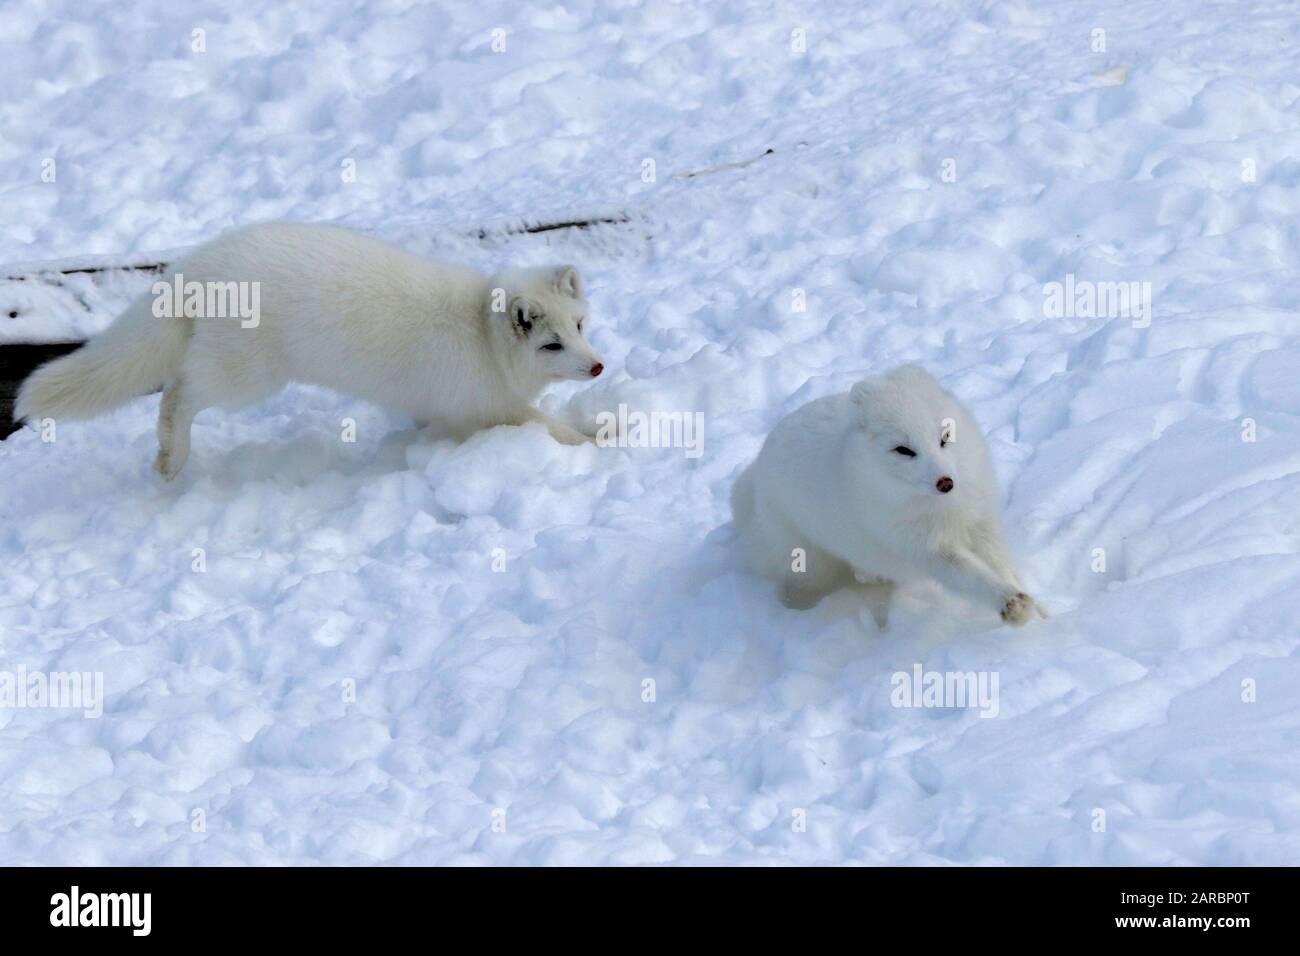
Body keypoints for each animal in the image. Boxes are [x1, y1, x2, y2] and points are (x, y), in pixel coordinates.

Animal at [16, 222, 605, 478]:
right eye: (551, 344)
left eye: (580, 325)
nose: (598, 367)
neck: (480, 331)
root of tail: (199, 263)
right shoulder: (487, 408)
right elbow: (552, 430)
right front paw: (600, 441)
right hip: (248, 376)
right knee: (178, 394)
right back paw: (171, 458)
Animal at [731, 365, 1043, 627]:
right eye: (904, 450)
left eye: (944, 438)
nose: (946, 482)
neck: (943, 508)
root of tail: (758, 466)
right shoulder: (927, 549)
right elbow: (971, 577)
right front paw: (1010, 604)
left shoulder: (981, 524)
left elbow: (1002, 564)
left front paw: (1038, 612)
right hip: (809, 560)